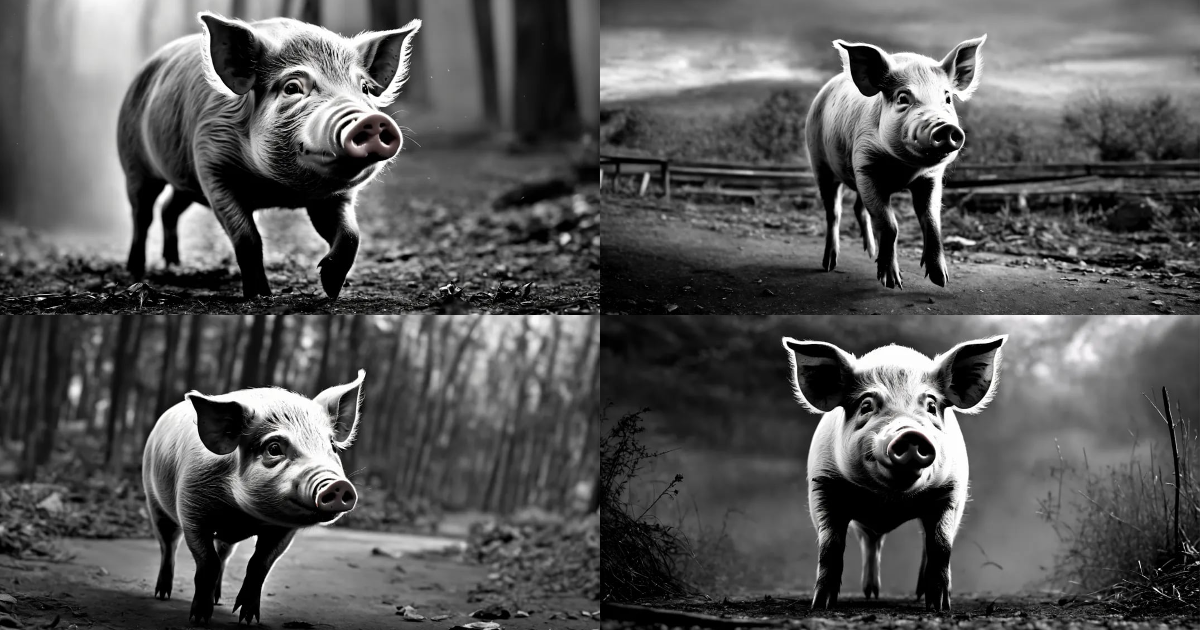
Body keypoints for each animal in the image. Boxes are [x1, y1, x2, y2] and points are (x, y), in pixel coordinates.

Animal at [118, 12, 421, 299]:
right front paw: (261, 295)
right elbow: (247, 238)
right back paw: (136, 269)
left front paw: (331, 289)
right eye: (292, 88)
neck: (278, 191)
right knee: (142, 213)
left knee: (169, 209)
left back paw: (174, 264)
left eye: (365, 88)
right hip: (134, 164)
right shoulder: (211, 162)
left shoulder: (335, 196)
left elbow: (350, 234)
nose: (371, 120)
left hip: (184, 183)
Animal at [141, 370, 366, 624]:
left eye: (333, 447)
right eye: (274, 448)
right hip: (154, 502)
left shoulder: (283, 531)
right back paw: (162, 595)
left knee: (224, 554)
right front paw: (199, 619)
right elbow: (207, 562)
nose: (338, 484)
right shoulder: (191, 508)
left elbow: (260, 564)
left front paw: (248, 620)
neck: (243, 516)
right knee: (168, 544)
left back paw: (218, 600)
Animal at [781, 335, 1007, 611]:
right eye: (866, 405)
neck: (889, 501)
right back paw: (870, 594)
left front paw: (940, 606)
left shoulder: (951, 491)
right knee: (871, 542)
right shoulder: (823, 485)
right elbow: (830, 547)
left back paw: (918, 594)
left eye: (931, 406)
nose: (910, 434)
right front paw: (821, 604)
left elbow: (941, 546)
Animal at [804, 35, 987, 289]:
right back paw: (829, 264)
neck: (903, 171)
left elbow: (932, 220)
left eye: (948, 98)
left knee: (859, 208)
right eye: (903, 97)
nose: (945, 127)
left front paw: (941, 280)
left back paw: (870, 253)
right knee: (834, 213)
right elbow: (890, 225)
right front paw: (893, 283)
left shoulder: (930, 178)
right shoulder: (866, 166)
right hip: (820, 163)